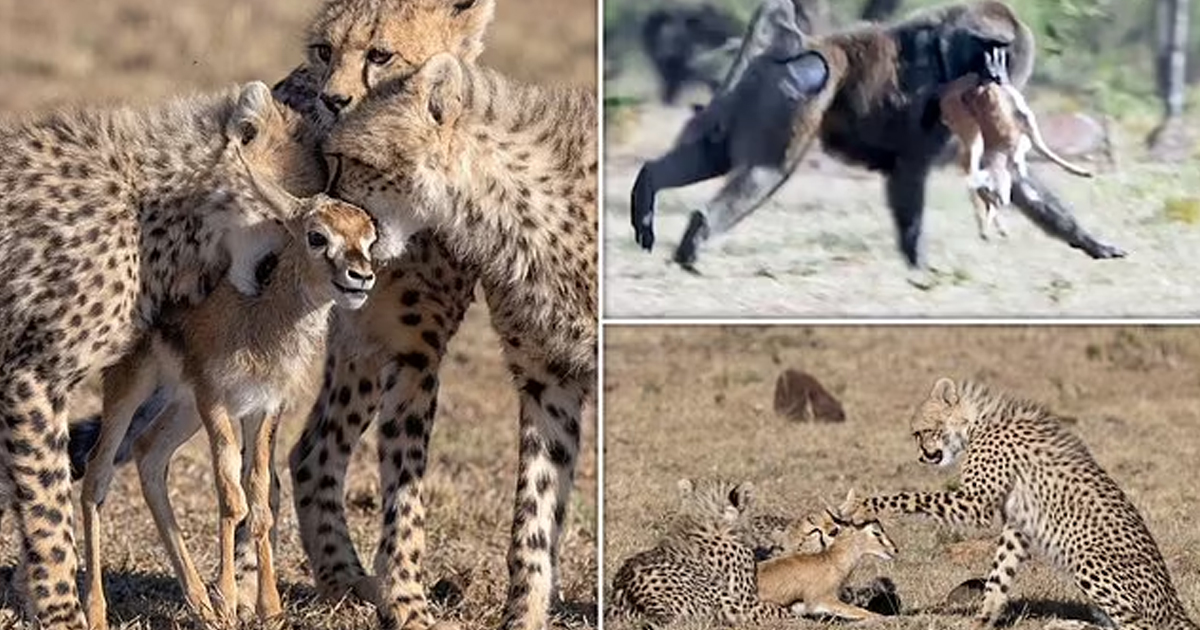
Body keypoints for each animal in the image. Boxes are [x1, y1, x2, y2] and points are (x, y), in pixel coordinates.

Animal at [842, 377, 1200, 630]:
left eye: (922, 432)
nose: (921, 456)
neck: (976, 422)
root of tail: (1176, 607)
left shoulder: (974, 503)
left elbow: (911, 496)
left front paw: (864, 504)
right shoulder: (1018, 523)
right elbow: (1000, 573)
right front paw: (982, 619)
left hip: (1089, 561)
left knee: (1139, 625)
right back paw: (1067, 623)